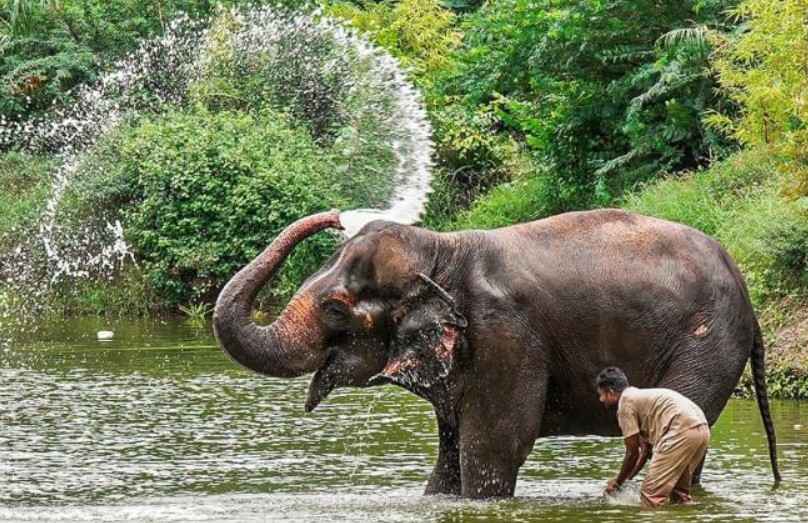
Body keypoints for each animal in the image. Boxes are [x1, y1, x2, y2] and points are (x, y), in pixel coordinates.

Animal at [213, 208, 781, 498]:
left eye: (334, 308)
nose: (336, 217)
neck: (441, 248)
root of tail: (747, 295)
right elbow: (451, 450)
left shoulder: (507, 336)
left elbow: (493, 446)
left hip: (707, 344)